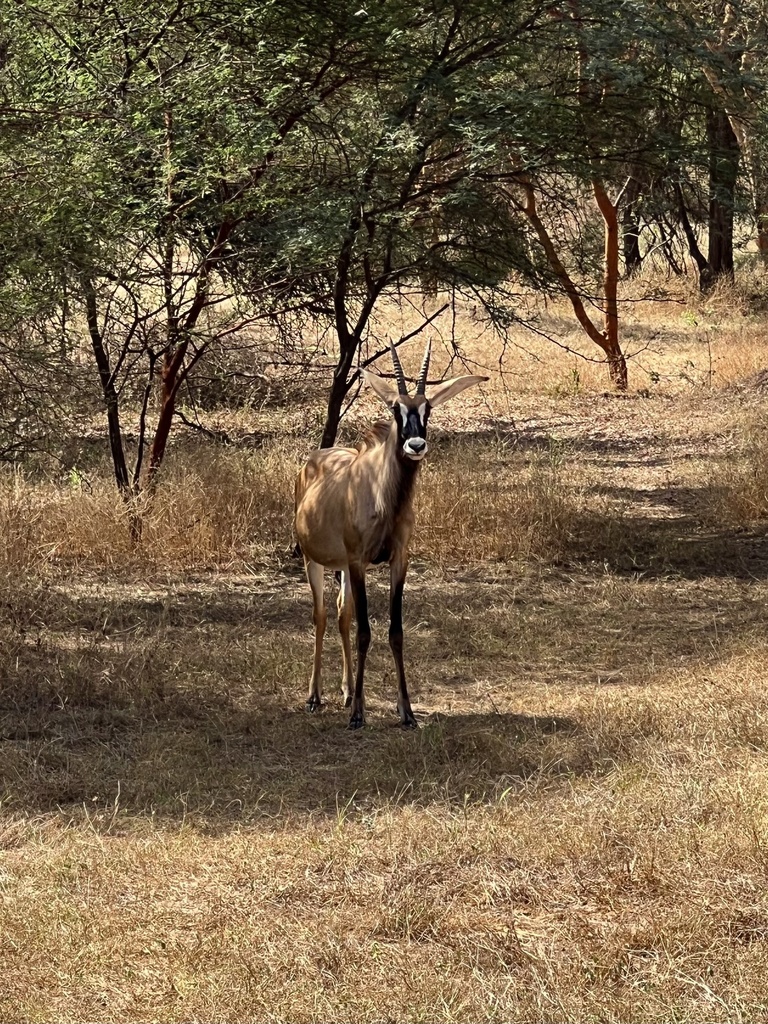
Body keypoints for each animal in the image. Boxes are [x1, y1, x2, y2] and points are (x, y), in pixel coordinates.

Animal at [294, 340, 487, 729]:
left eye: (427, 408)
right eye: (395, 408)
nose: (415, 445)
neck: (382, 493)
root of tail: (314, 460)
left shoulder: (398, 560)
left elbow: (395, 631)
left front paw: (406, 711)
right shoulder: (359, 561)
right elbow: (365, 631)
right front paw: (358, 716)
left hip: (342, 568)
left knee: (342, 613)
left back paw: (347, 692)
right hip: (314, 560)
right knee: (322, 616)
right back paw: (315, 696)